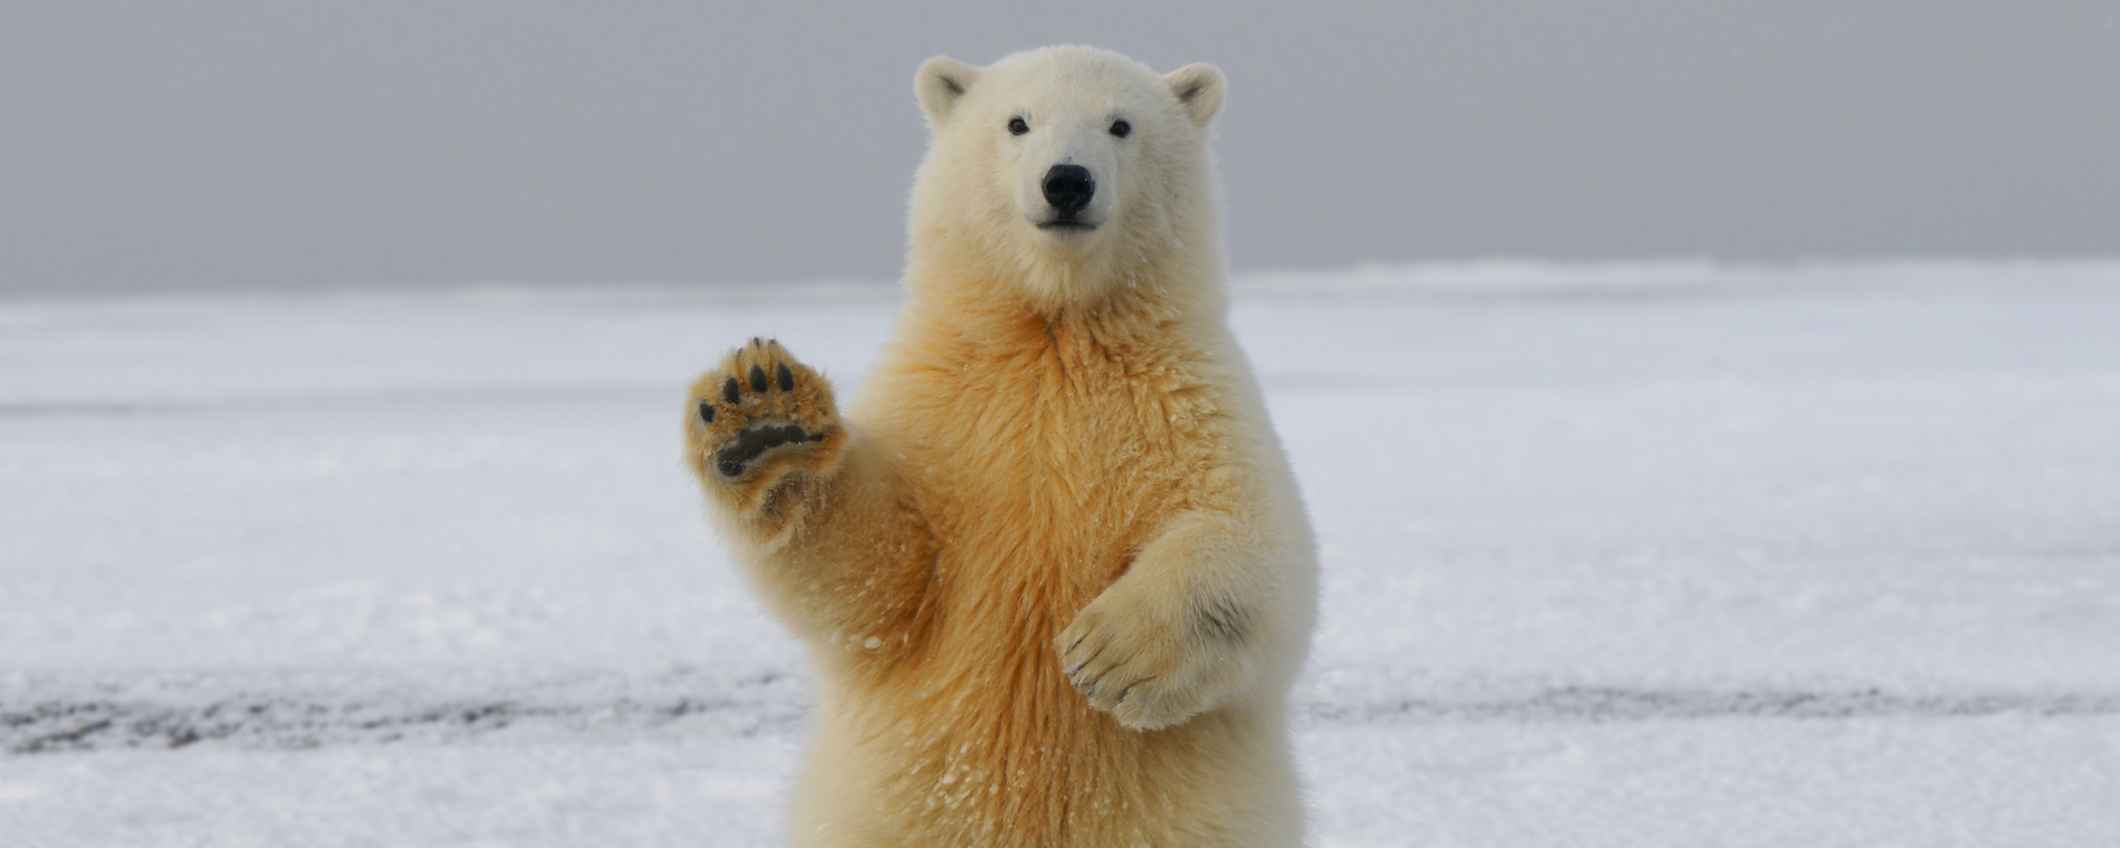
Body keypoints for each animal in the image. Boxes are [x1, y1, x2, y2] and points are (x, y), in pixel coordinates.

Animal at [683, 46, 1318, 847]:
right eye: (1018, 122)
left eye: (1121, 124)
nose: (1067, 180)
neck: (1053, 333)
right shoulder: (941, 412)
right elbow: (877, 575)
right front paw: (764, 418)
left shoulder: (1189, 401)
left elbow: (1256, 545)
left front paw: (1107, 654)